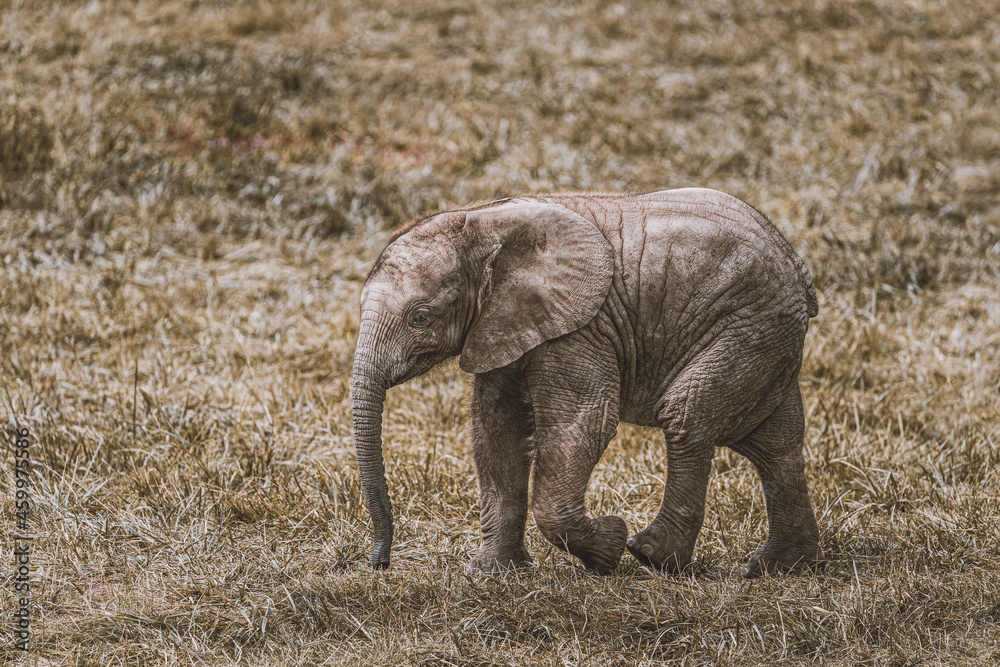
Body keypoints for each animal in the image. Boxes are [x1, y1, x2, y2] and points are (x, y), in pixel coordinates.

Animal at [351, 188, 823, 577]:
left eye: (420, 317)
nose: (380, 563)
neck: (482, 221)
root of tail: (798, 267)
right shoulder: (503, 323)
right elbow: (496, 430)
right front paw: (491, 575)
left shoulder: (581, 326)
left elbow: (582, 422)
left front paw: (608, 550)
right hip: (764, 337)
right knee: (774, 443)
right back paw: (778, 568)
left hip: (749, 327)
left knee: (687, 415)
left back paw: (652, 555)